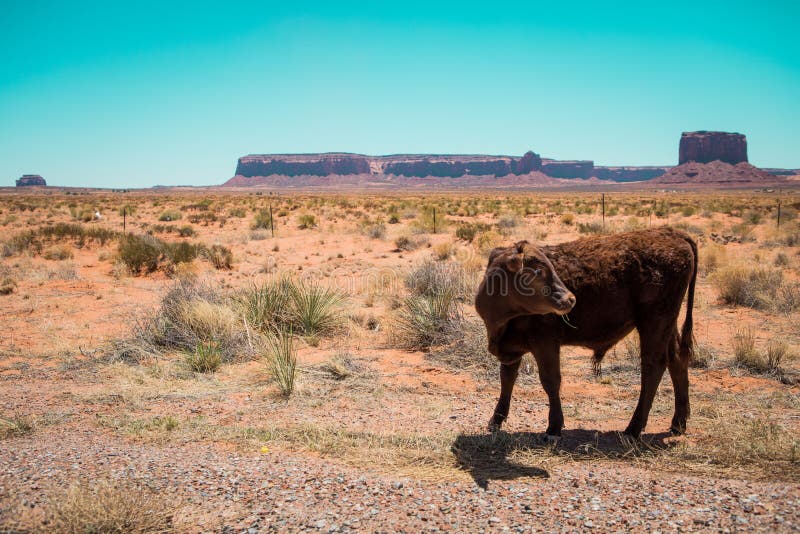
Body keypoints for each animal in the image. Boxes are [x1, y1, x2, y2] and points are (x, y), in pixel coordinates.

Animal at [474, 227, 697, 440]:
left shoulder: (545, 343)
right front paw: (495, 421)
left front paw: (554, 428)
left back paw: (633, 429)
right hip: (667, 325)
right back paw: (678, 423)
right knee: (676, 361)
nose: (570, 299)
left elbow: (550, 381)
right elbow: (507, 379)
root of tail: (674, 233)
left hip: (654, 323)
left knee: (652, 368)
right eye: (536, 270)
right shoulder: (511, 348)